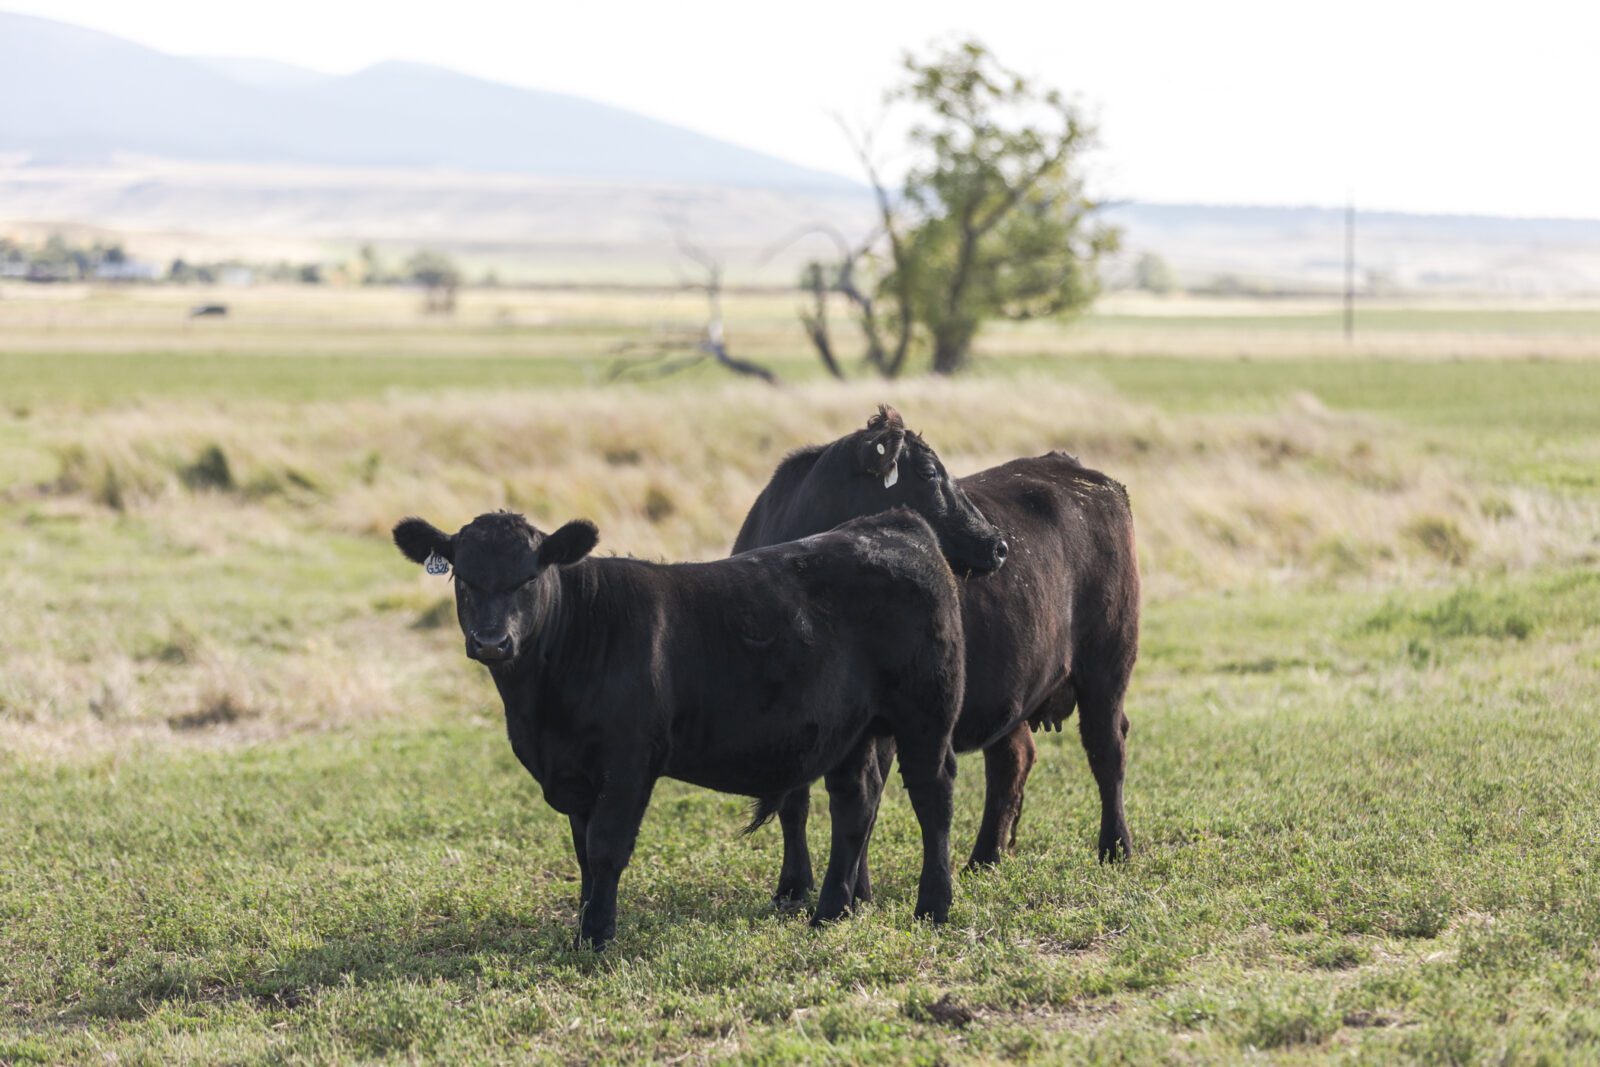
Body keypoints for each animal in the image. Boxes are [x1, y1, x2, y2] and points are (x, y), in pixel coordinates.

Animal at [393, 508, 969, 950]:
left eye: (529, 577)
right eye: (463, 578)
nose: (492, 641)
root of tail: (895, 523)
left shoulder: (628, 760)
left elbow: (605, 846)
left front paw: (596, 936)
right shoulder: (575, 771)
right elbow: (583, 853)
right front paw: (586, 922)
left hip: (926, 714)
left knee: (932, 797)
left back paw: (932, 907)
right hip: (853, 730)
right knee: (855, 804)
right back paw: (830, 912)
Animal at [733, 406, 1140, 906]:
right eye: (928, 472)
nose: (998, 545)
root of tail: (1080, 473)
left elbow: (861, 800)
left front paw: (855, 892)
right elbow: (797, 802)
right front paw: (793, 887)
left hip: (1107, 665)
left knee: (1107, 750)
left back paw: (1115, 847)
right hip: (1011, 686)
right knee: (1011, 761)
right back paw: (984, 858)